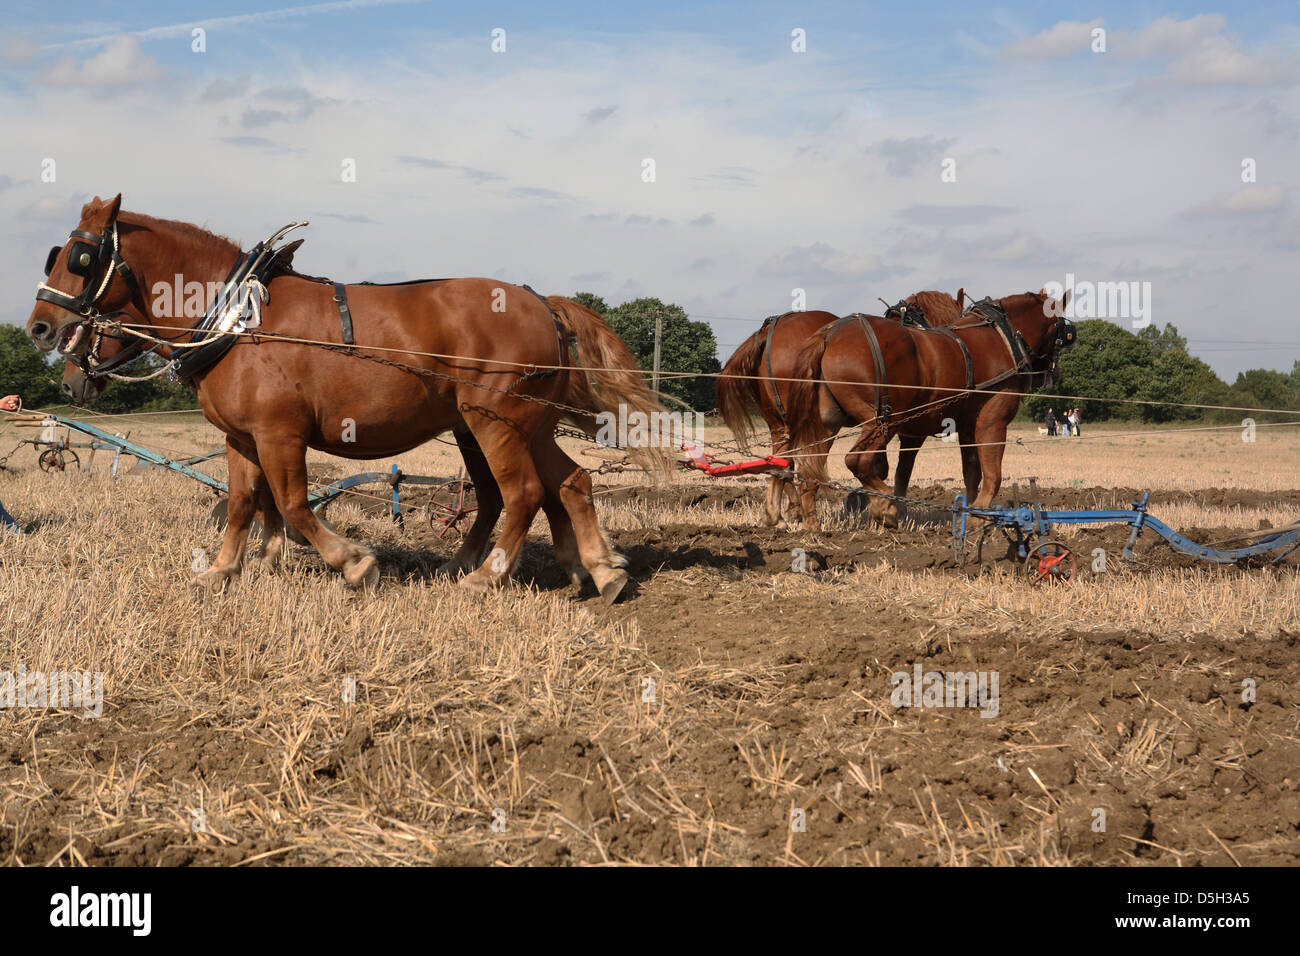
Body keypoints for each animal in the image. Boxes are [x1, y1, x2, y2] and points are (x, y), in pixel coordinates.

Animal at [29, 195, 667, 601]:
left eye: (80, 257)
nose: (40, 328)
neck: (237, 321)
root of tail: (542, 303)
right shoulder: (242, 438)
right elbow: (242, 504)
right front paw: (225, 570)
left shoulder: (280, 433)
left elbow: (292, 505)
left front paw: (354, 564)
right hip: (521, 424)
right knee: (568, 483)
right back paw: (597, 571)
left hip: (495, 423)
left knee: (523, 493)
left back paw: (486, 577)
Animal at [716, 290, 964, 526]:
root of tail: (770, 331)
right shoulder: (905, 429)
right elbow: (897, 469)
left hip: (781, 423)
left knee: (782, 460)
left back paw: (779, 513)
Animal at [782, 291, 1075, 530]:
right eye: (1062, 332)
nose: (1053, 373)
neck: (1001, 337)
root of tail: (829, 336)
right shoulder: (992, 422)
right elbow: (993, 474)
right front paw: (979, 513)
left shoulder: (964, 427)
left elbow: (970, 472)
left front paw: (966, 510)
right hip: (883, 421)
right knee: (857, 461)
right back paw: (885, 507)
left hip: (827, 425)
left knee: (809, 469)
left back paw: (812, 524)